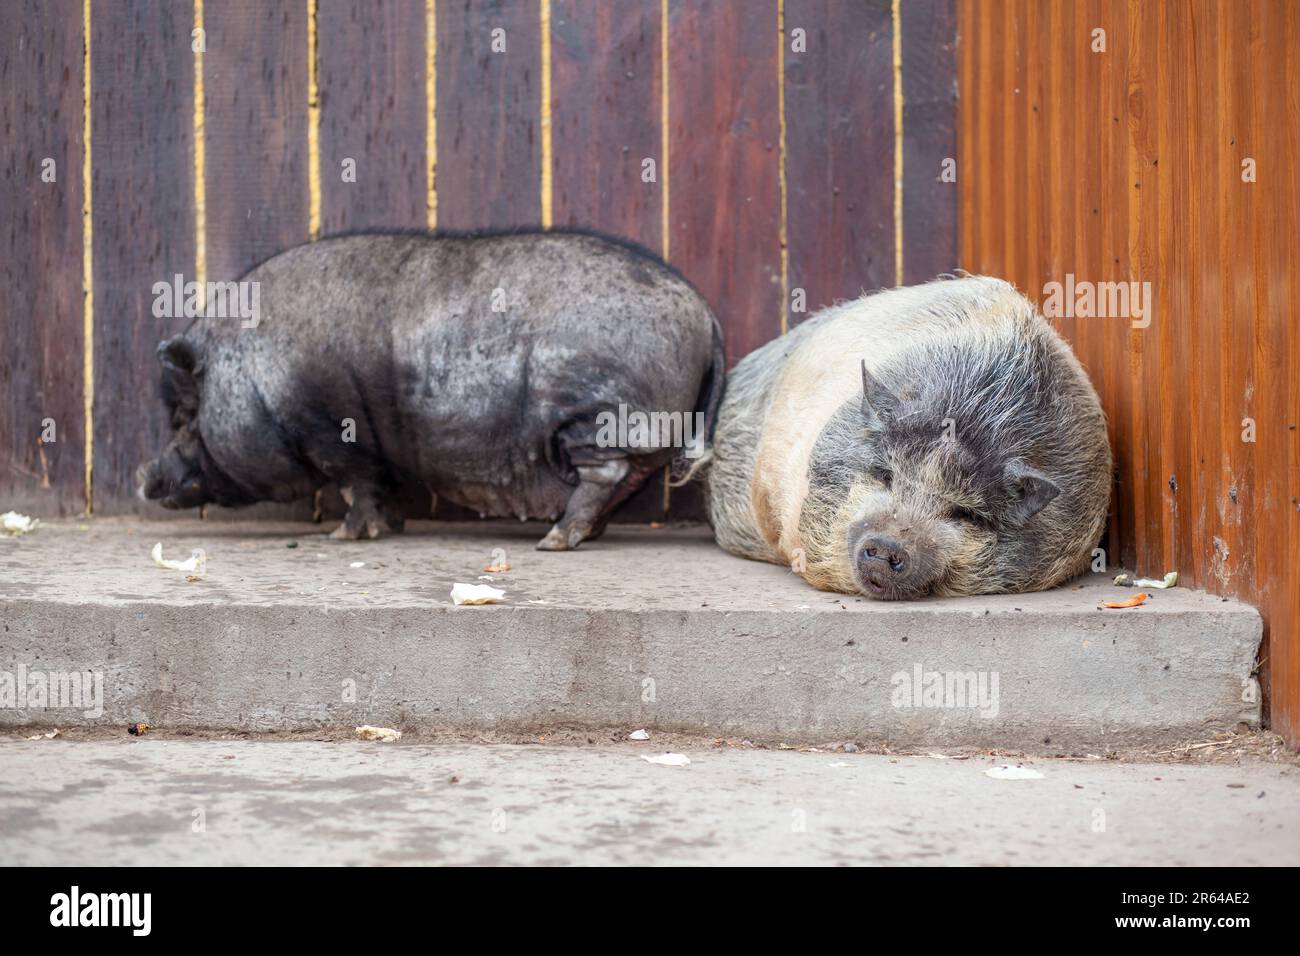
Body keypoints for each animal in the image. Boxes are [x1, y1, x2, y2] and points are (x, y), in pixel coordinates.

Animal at [137, 229, 724, 549]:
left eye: (185, 417)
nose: (144, 475)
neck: (258, 372)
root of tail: (704, 312)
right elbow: (380, 486)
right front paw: (391, 527)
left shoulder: (330, 433)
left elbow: (355, 486)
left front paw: (343, 537)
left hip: (597, 416)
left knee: (606, 475)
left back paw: (553, 540)